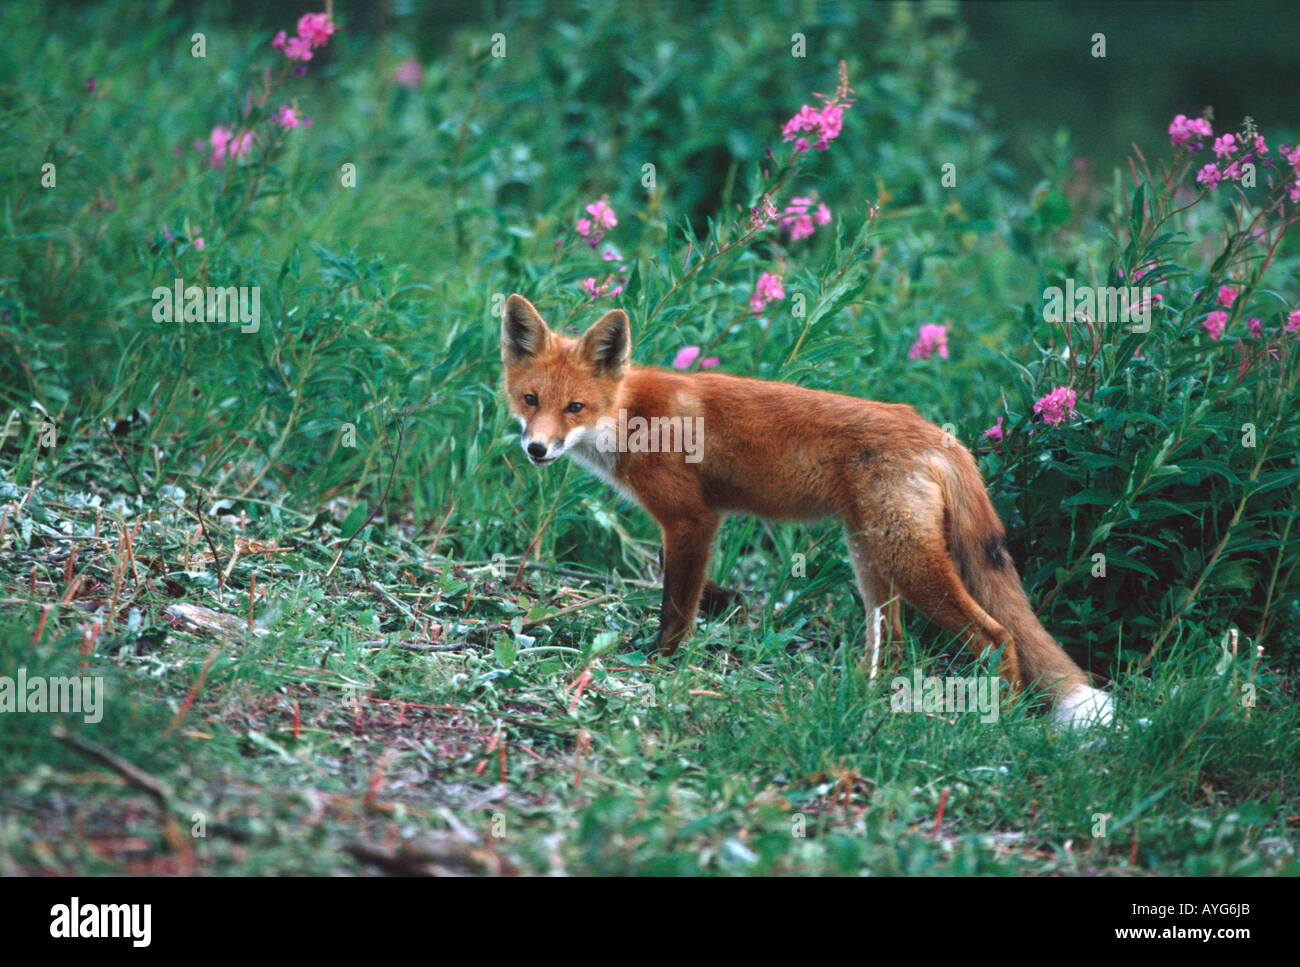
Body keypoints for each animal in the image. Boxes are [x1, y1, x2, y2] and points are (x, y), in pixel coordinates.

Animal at [500, 293, 1114, 728]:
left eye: (575, 406)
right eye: (531, 400)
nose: (537, 450)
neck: (629, 415)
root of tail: (936, 433)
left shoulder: (691, 519)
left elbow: (675, 611)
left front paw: (658, 664)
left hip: (908, 562)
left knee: (998, 636)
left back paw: (998, 719)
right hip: (870, 557)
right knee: (893, 647)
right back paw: (869, 706)